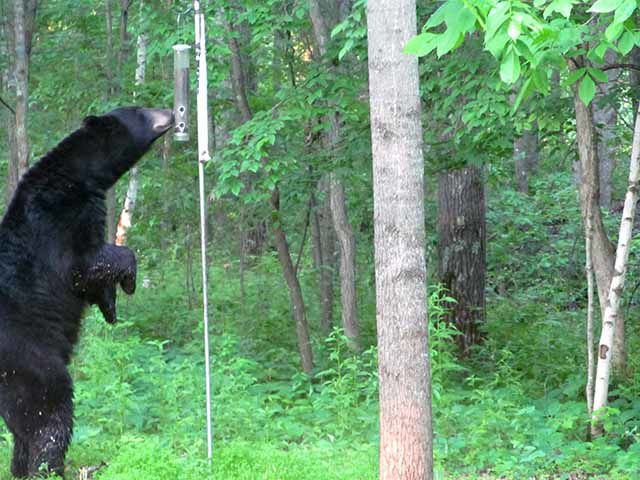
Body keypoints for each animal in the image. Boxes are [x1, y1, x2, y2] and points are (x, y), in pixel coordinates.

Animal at [0, 106, 173, 478]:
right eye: (142, 111)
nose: (171, 111)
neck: (81, 175)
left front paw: (110, 307)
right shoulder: (62, 218)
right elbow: (87, 263)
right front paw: (128, 281)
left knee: (22, 429)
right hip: (30, 359)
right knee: (50, 414)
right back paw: (50, 467)